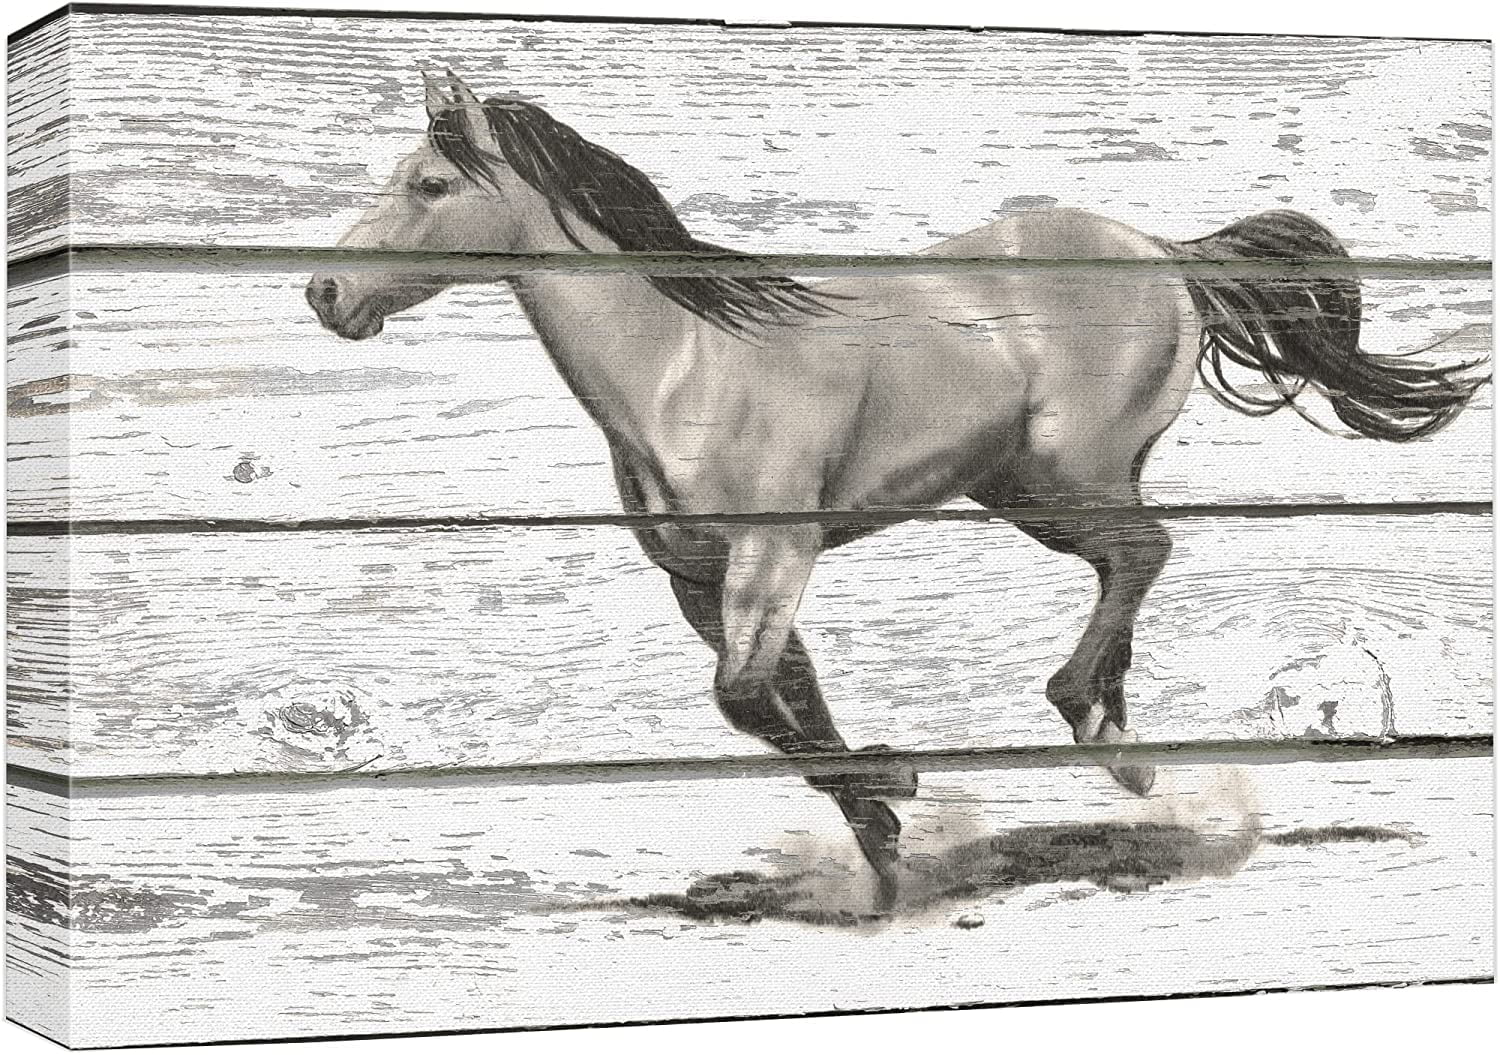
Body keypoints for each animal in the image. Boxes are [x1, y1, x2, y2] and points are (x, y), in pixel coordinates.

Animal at [308, 70, 1485, 908]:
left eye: (428, 186)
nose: (325, 291)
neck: (688, 360)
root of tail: (1160, 249)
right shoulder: (702, 579)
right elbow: (784, 696)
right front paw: (881, 833)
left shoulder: (774, 550)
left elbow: (746, 697)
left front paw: (895, 787)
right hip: (1031, 488)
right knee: (1130, 564)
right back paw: (1117, 741)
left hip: (1064, 478)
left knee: (1145, 552)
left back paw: (1094, 727)